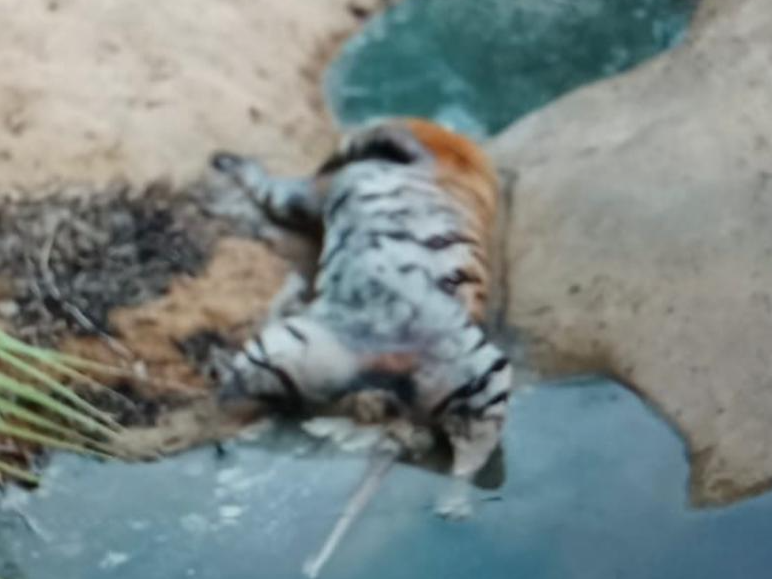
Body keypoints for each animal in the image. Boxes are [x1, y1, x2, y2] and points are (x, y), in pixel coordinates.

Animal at [208, 118, 514, 517]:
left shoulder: (321, 187)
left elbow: (276, 185)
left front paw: (229, 161)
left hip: (300, 346)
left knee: (237, 383)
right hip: (469, 380)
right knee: (473, 448)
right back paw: (454, 502)